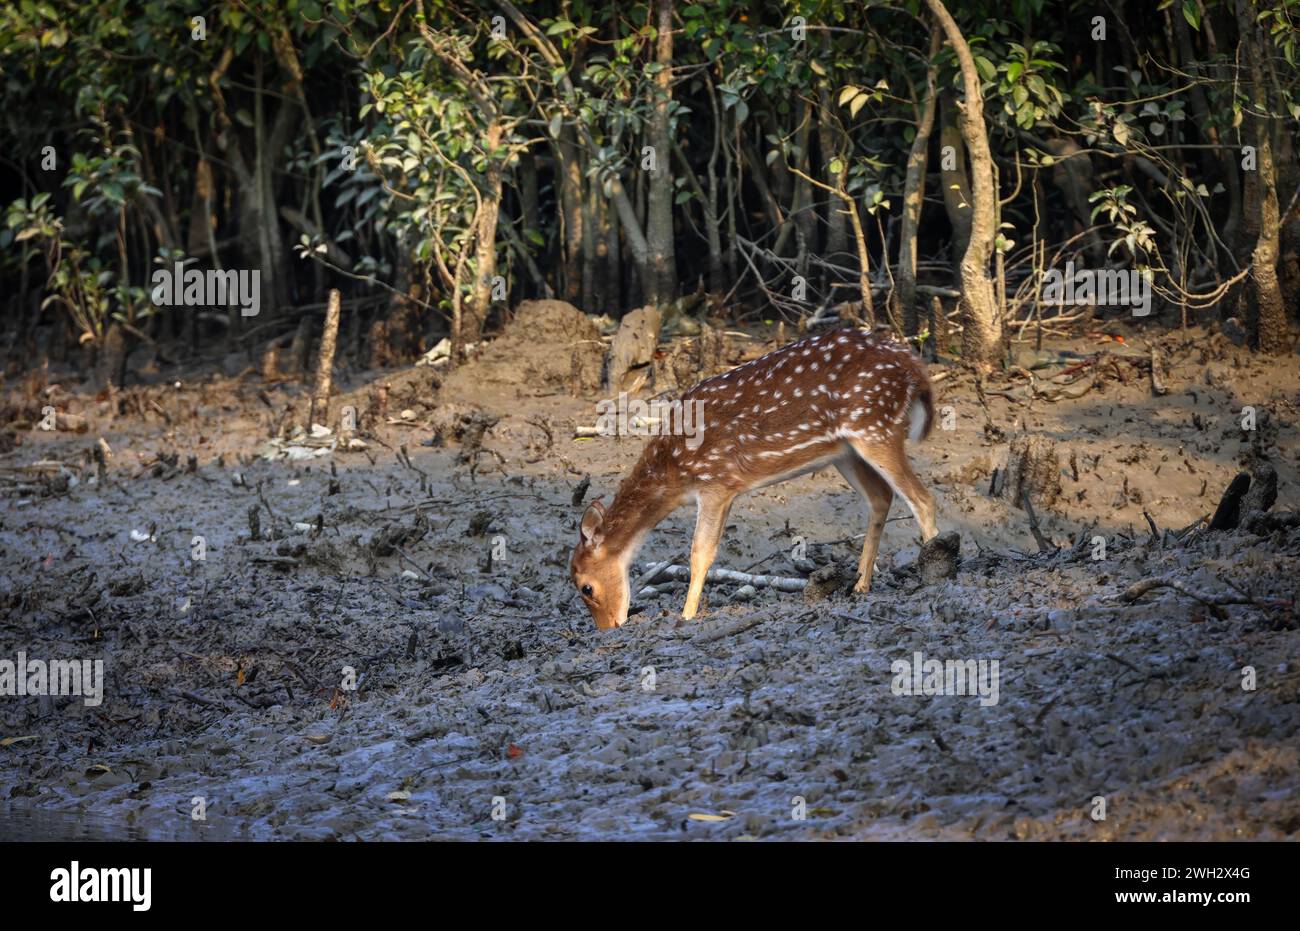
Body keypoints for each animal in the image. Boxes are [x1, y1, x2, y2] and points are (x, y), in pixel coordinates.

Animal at [571, 327, 939, 630]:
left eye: (586, 587)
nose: (609, 628)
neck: (675, 471)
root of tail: (912, 366)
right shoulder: (728, 489)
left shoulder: (716, 480)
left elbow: (699, 553)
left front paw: (685, 616)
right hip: (846, 451)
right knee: (881, 497)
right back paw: (861, 585)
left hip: (875, 425)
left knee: (922, 497)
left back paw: (934, 574)